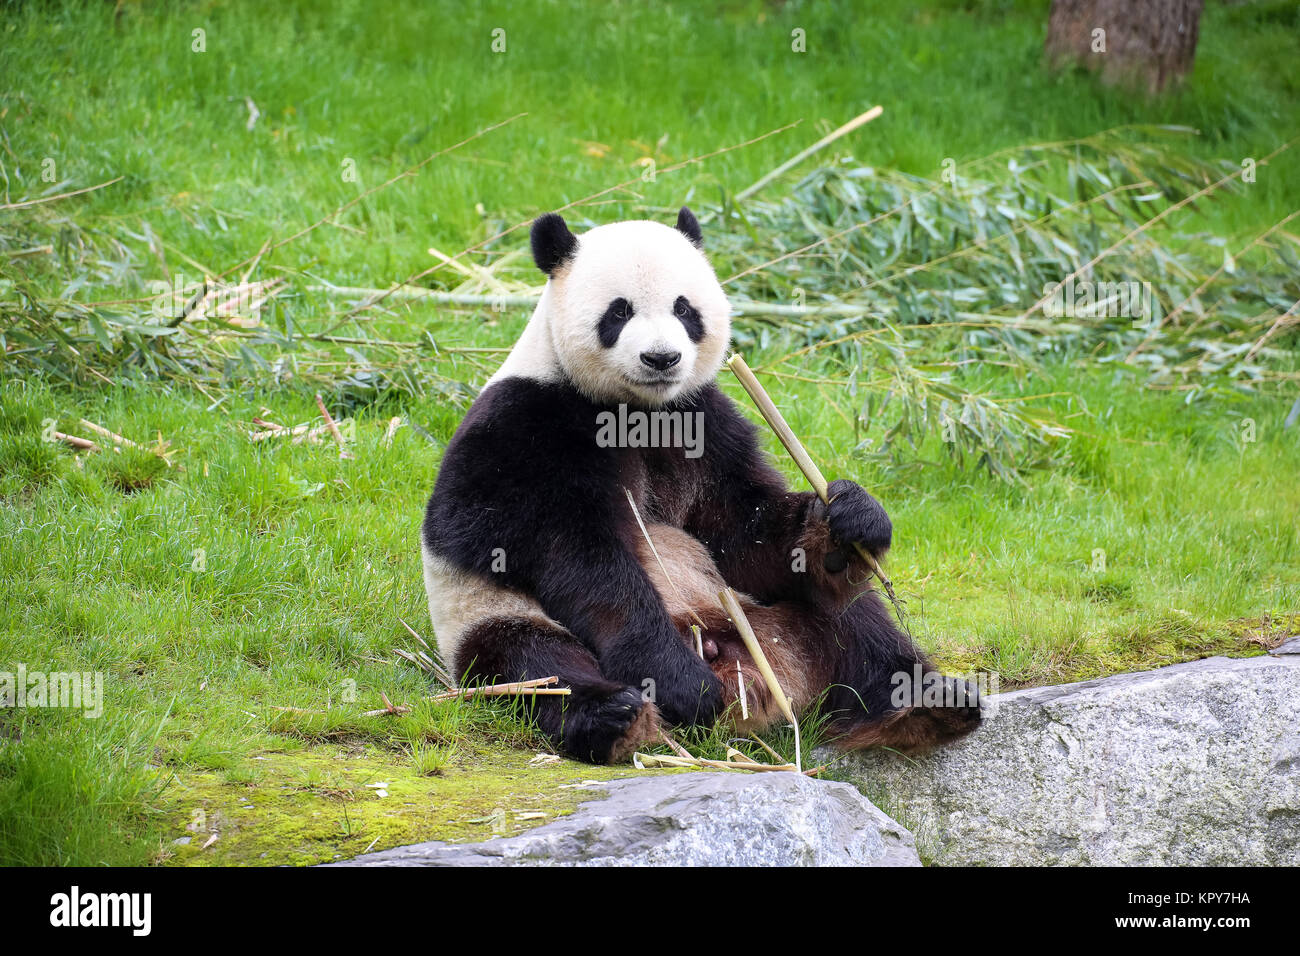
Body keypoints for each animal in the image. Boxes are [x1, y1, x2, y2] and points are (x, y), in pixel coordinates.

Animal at [421, 207, 982, 763]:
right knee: (537, 665)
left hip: (768, 611)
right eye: (618, 312)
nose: (661, 358)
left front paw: (848, 516)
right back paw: (619, 717)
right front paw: (678, 682)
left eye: (684, 309)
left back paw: (924, 704)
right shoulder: (525, 426)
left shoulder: (703, 421)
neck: (639, 411)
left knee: (853, 618)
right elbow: (568, 554)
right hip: (487, 615)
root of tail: (749, 675)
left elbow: (742, 527)